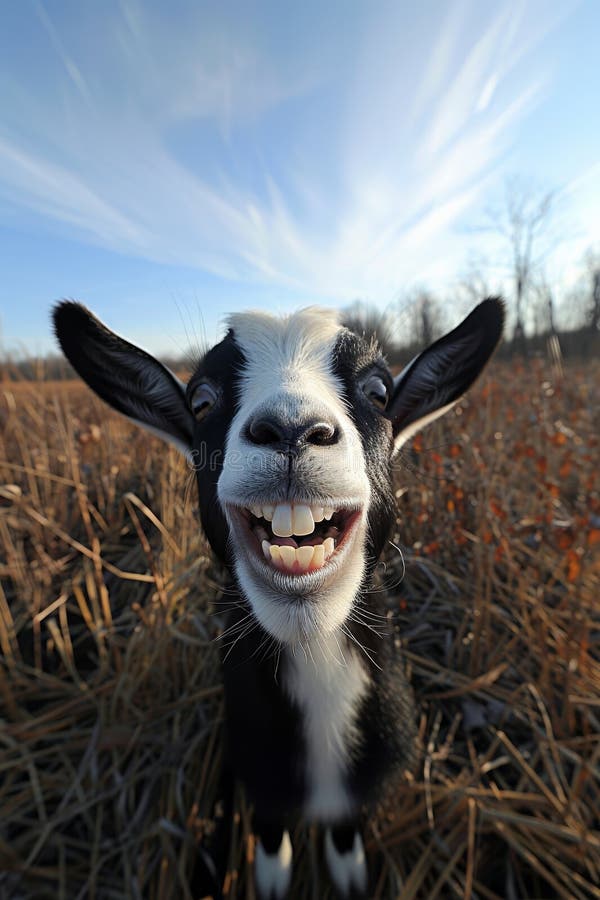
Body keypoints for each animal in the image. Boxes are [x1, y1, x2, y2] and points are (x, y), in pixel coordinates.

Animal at [53, 298, 503, 899]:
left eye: (379, 392)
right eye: (201, 401)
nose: (290, 428)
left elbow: (345, 828)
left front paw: (348, 869)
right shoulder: (256, 769)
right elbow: (269, 829)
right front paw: (270, 877)